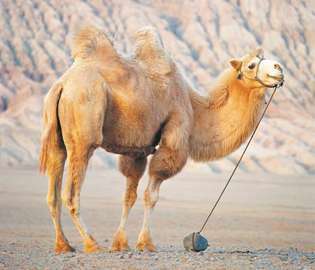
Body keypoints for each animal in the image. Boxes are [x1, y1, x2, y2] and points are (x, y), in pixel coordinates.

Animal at [39, 25, 284, 253]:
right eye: (251, 64)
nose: (279, 68)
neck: (194, 107)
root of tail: (62, 85)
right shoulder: (174, 133)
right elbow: (152, 194)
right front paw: (146, 243)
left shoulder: (136, 149)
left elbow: (129, 195)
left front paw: (120, 244)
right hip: (83, 132)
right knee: (70, 194)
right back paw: (91, 244)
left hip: (57, 139)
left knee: (52, 193)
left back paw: (63, 245)